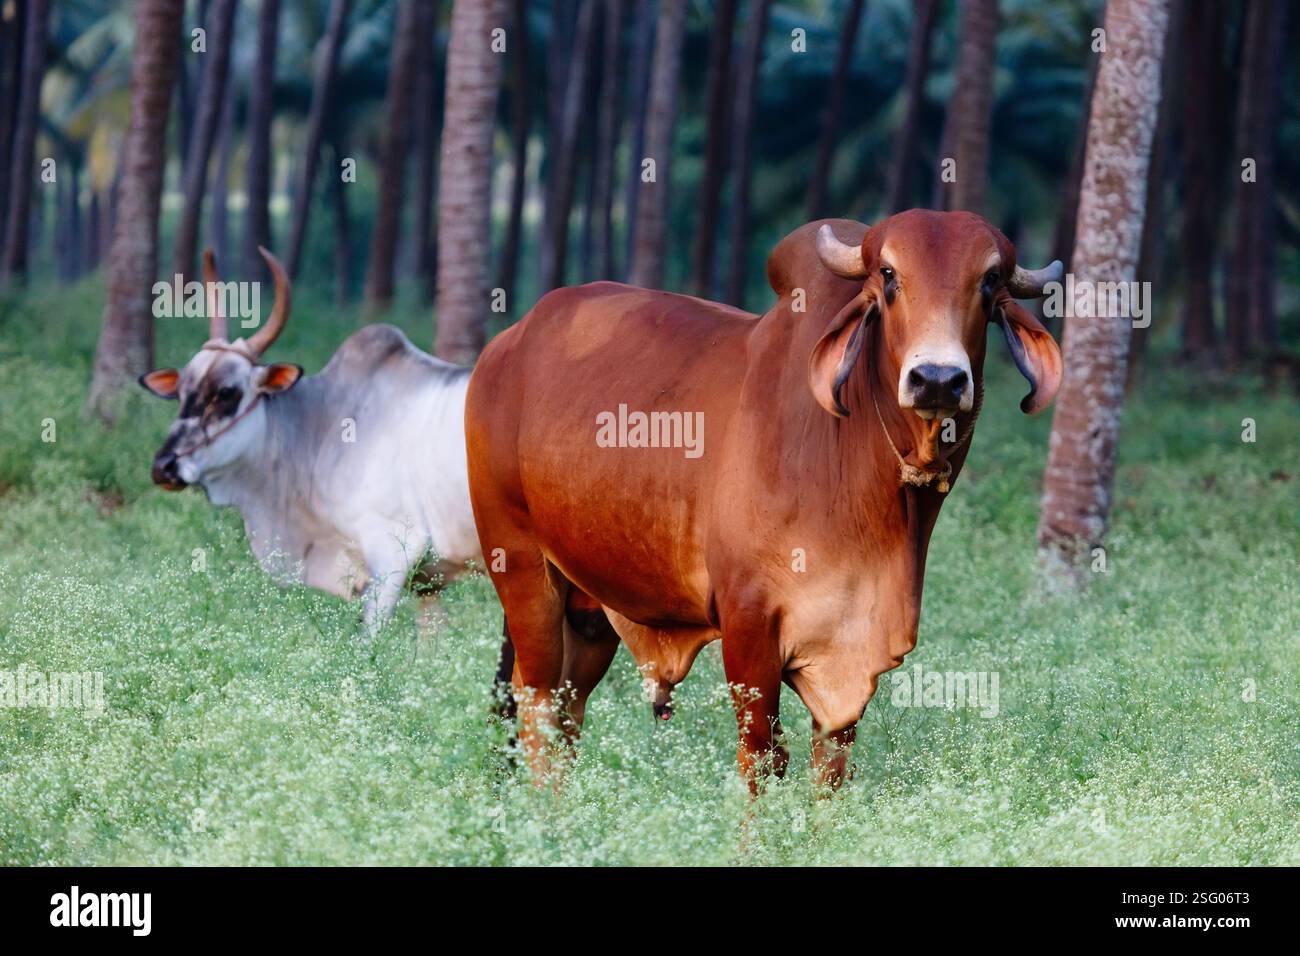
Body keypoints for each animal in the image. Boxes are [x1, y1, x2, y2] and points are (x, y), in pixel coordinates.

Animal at [465, 211, 1063, 787]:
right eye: (889, 276)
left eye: (989, 281)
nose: (937, 378)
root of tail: (506, 344)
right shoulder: (749, 624)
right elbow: (763, 756)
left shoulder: (850, 659)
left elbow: (831, 769)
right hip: (522, 567)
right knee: (537, 703)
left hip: (589, 607)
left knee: (567, 710)